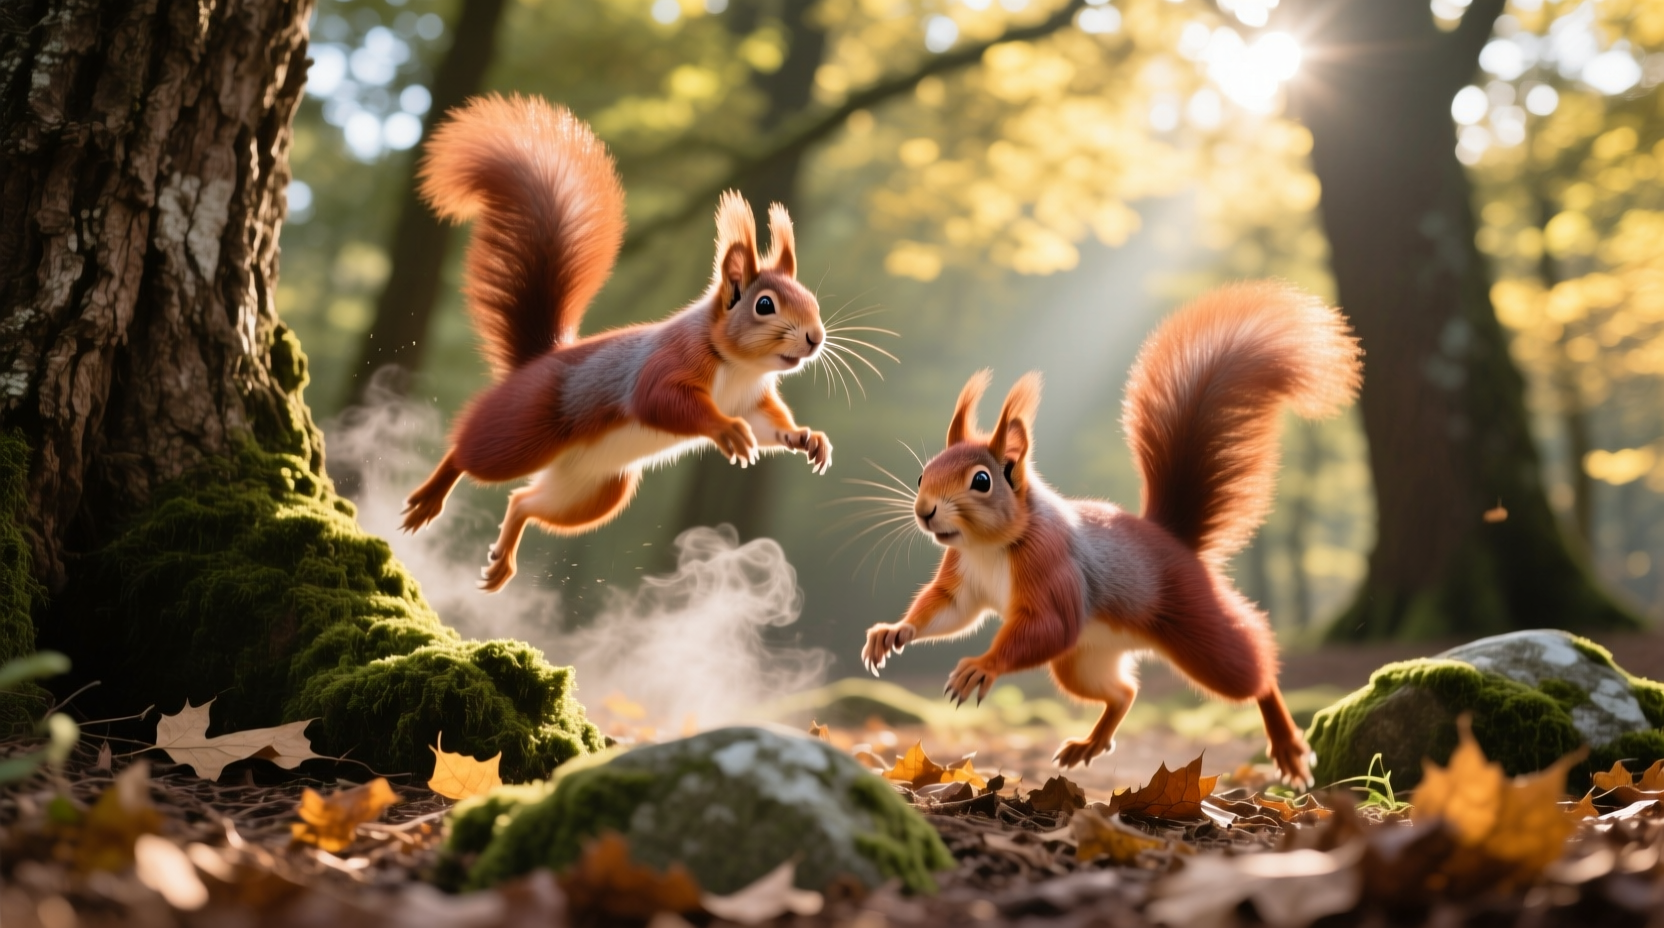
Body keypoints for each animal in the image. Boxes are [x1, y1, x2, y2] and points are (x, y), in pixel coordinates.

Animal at [399, 95, 831, 592]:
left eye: (812, 299)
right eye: (764, 305)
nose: (815, 338)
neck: (739, 367)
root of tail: (536, 362)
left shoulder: (752, 400)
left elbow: (768, 426)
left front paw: (806, 438)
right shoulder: (669, 362)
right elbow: (661, 400)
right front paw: (725, 430)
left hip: (595, 490)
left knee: (523, 500)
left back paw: (503, 559)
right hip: (521, 433)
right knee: (467, 453)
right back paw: (430, 497)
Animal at [860, 282, 1363, 786]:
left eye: (981, 481)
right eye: (923, 475)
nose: (924, 512)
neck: (988, 547)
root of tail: (1171, 539)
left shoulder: (1052, 564)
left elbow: (1049, 625)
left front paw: (982, 666)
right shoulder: (962, 574)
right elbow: (949, 610)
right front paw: (894, 631)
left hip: (1200, 630)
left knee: (1254, 670)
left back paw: (1287, 745)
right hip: (1083, 659)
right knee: (1123, 692)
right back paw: (1090, 743)